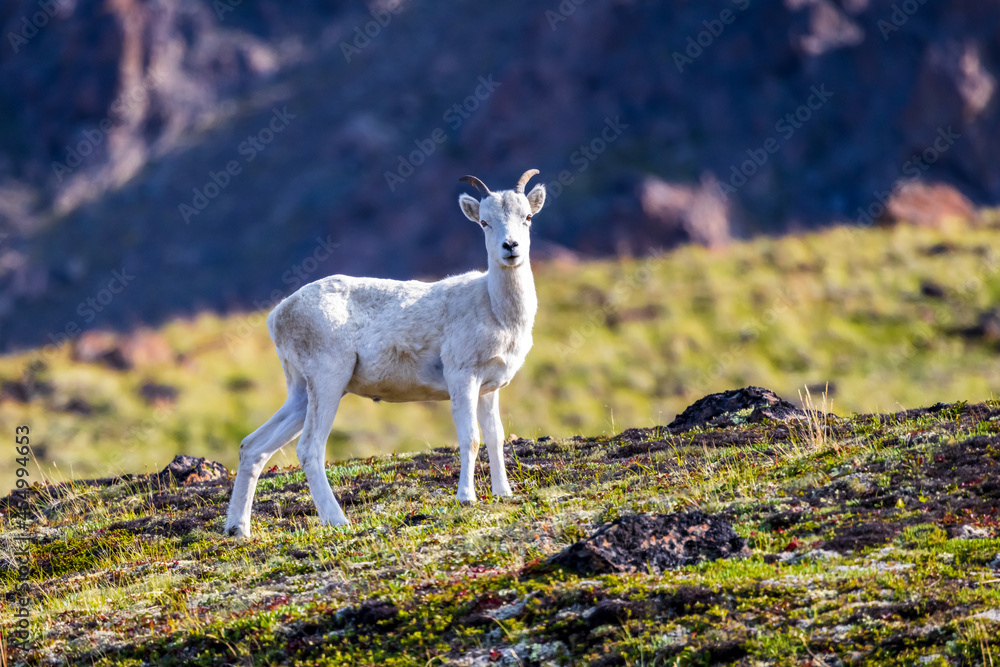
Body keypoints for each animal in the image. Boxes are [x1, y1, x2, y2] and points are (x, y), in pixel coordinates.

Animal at [224, 169, 546, 538]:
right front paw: (466, 498)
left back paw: (239, 530)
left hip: (301, 393)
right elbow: (471, 438)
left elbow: (495, 437)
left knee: (253, 447)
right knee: (309, 449)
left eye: (528, 217)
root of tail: (278, 314)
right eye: (484, 222)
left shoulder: (488, 389)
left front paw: (503, 493)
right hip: (328, 382)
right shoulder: (462, 378)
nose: (511, 247)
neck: (494, 308)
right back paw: (337, 520)